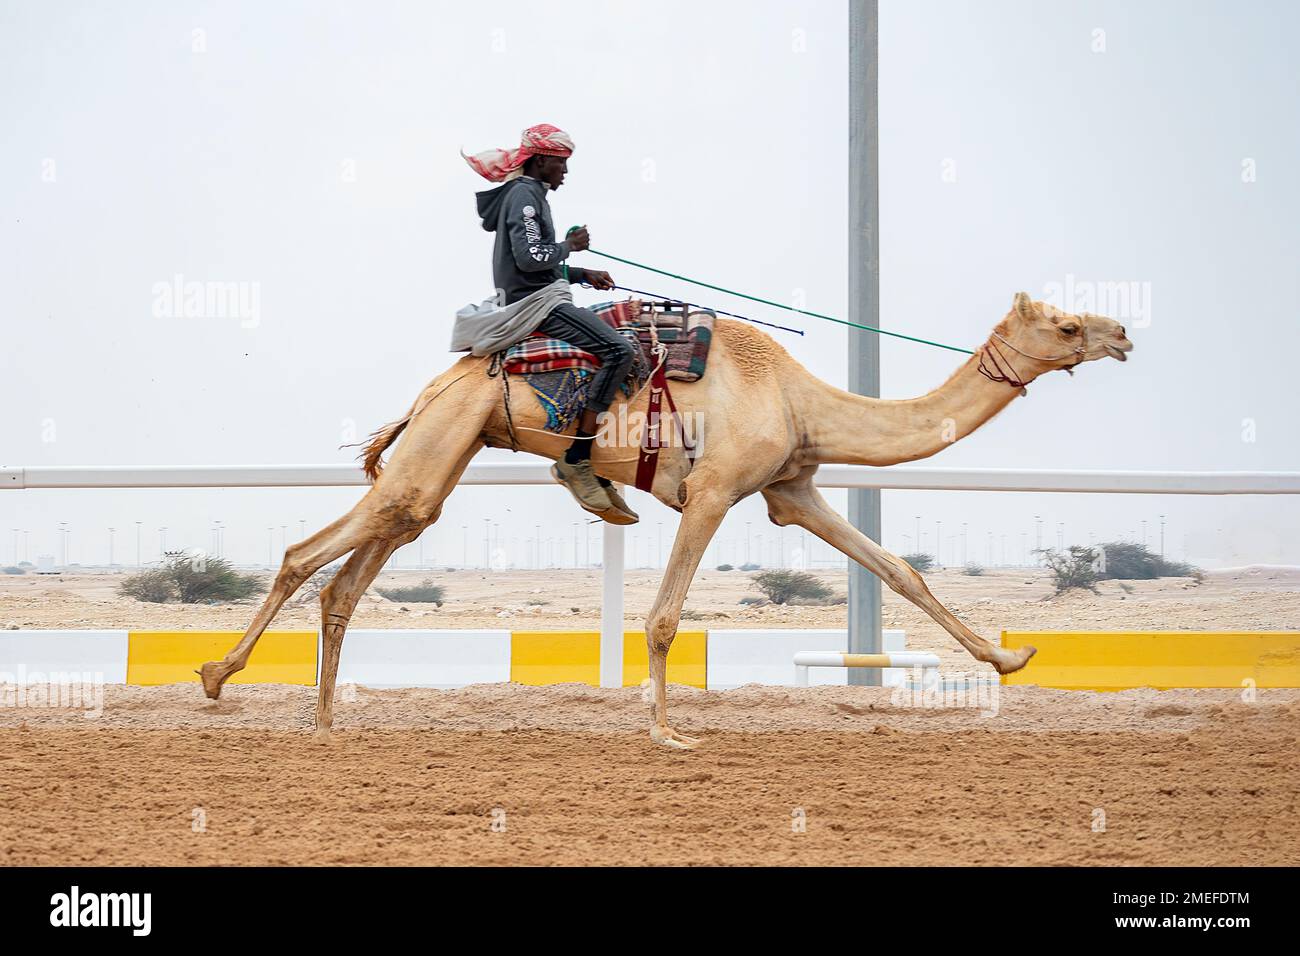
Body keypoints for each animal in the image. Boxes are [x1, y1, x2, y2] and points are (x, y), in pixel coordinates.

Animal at [200, 291, 1132, 748]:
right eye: (1066, 325)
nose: (1122, 333)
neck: (797, 399)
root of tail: (443, 380)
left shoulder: (792, 491)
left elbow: (898, 567)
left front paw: (1011, 658)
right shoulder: (713, 490)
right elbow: (662, 617)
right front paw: (666, 731)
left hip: (444, 453)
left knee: (366, 557)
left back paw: (326, 721)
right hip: (445, 436)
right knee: (305, 550)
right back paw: (217, 678)